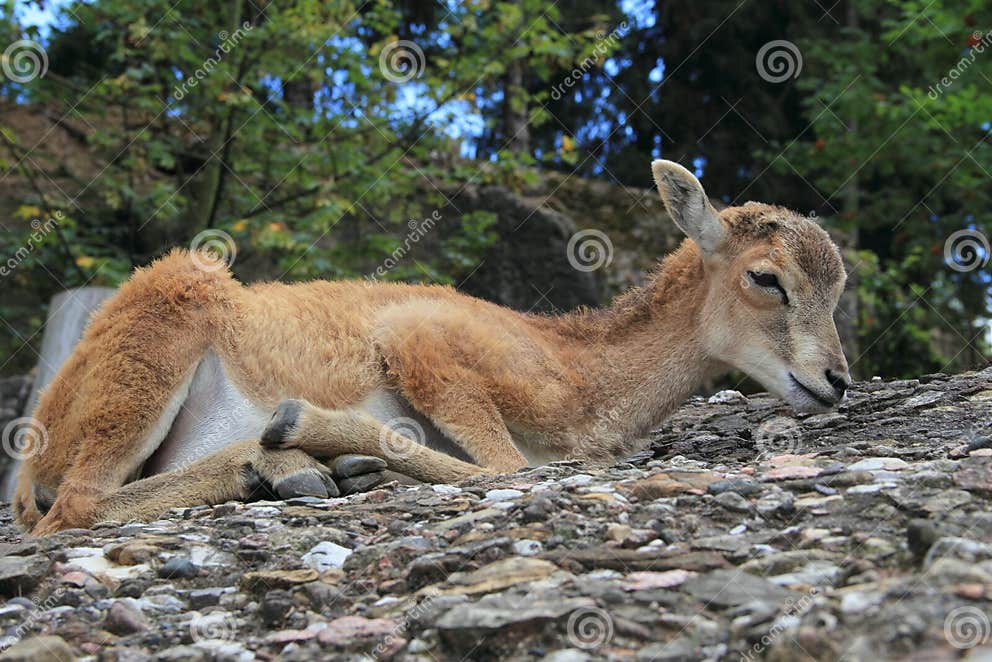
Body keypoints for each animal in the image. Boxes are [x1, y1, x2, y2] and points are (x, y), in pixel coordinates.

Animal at [12, 160, 851, 536]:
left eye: (839, 284)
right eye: (767, 277)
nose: (835, 379)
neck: (581, 377)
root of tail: (31, 463)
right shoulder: (423, 343)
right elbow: (501, 471)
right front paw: (312, 435)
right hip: (157, 340)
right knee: (77, 506)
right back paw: (286, 463)